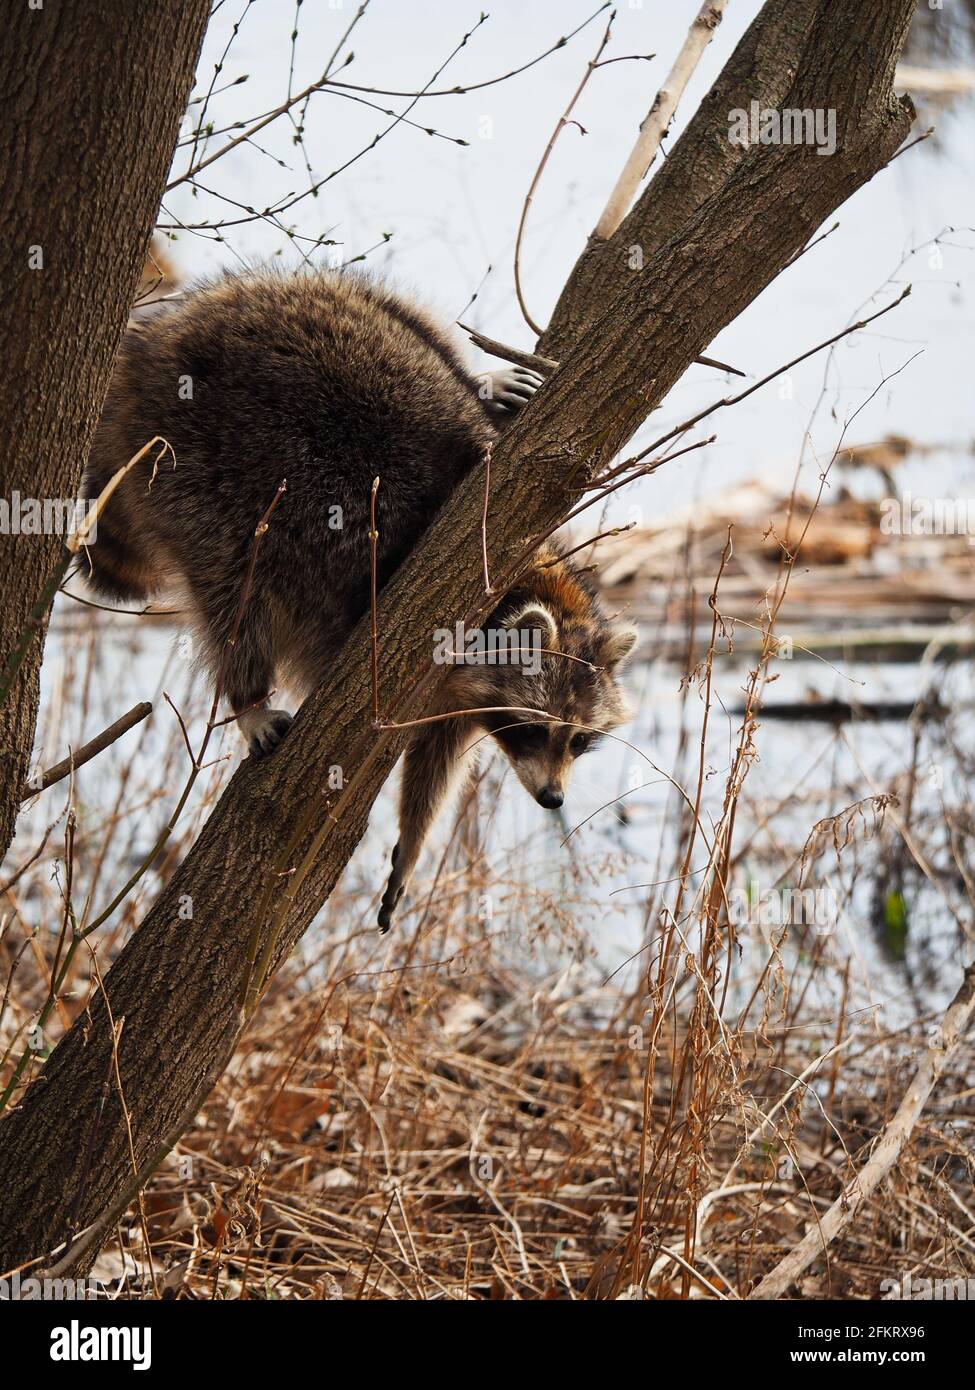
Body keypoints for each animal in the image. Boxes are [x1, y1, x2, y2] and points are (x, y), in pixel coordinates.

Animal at [81, 267, 637, 930]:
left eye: (579, 740)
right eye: (532, 727)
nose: (553, 797)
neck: (529, 586)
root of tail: (158, 339)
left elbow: (437, 757)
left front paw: (414, 838)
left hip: (328, 298)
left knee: (402, 314)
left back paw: (478, 376)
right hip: (195, 454)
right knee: (232, 578)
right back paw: (247, 692)